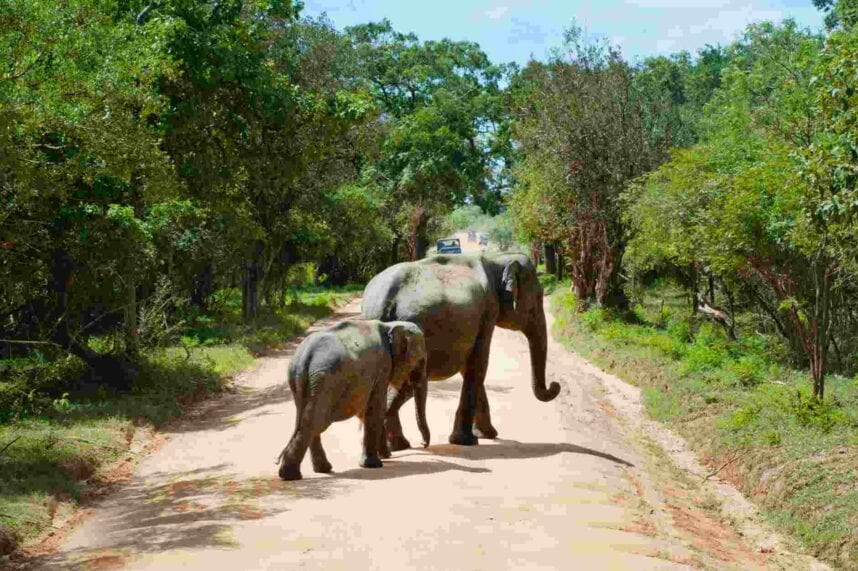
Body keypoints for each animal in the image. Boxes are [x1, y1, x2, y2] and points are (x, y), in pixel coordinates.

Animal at [277, 320, 429, 481]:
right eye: (421, 360)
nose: (422, 444)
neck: (389, 325)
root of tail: (306, 356)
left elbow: (367, 408)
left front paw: (384, 456)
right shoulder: (382, 366)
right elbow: (376, 407)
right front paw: (374, 464)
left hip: (300, 380)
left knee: (307, 420)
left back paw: (320, 469)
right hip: (326, 381)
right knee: (316, 421)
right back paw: (291, 475)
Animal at [362, 253, 561, 449]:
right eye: (538, 299)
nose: (555, 385)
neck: (496, 259)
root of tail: (382, 303)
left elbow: (470, 367)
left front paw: (487, 434)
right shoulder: (488, 311)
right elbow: (479, 363)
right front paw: (467, 440)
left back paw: (397, 445)